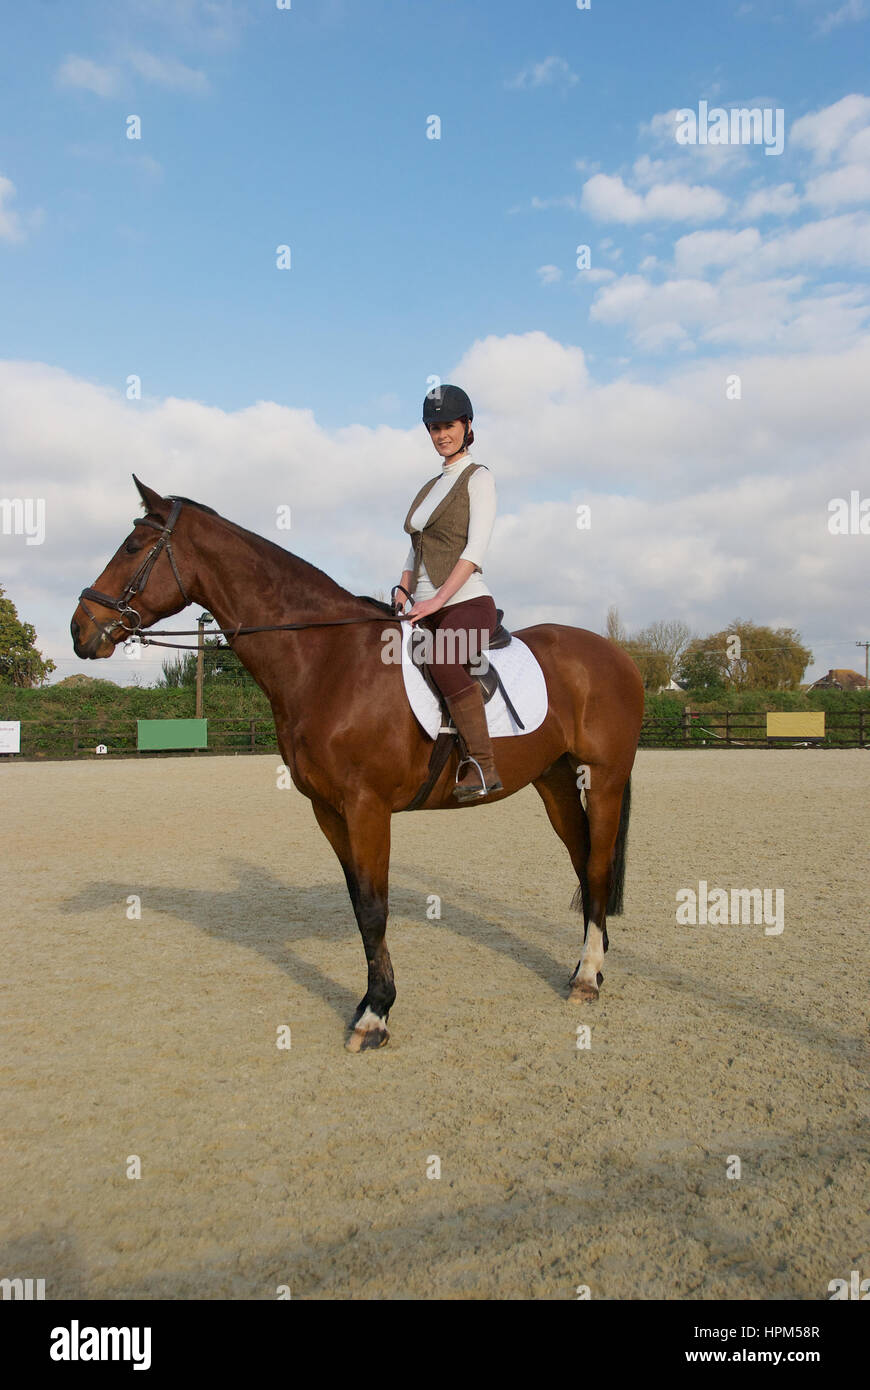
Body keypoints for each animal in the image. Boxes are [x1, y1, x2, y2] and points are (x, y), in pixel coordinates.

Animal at [71, 477, 645, 1052]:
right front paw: (371, 1002)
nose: (80, 629)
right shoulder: (329, 810)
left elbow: (374, 907)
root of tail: (615, 654)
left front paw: (376, 1015)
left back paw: (587, 978)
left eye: (132, 548)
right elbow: (357, 905)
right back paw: (589, 965)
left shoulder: (367, 806)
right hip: (554, 779)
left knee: (596, 864)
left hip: (605, 779)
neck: (329, 658)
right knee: (582, 859)